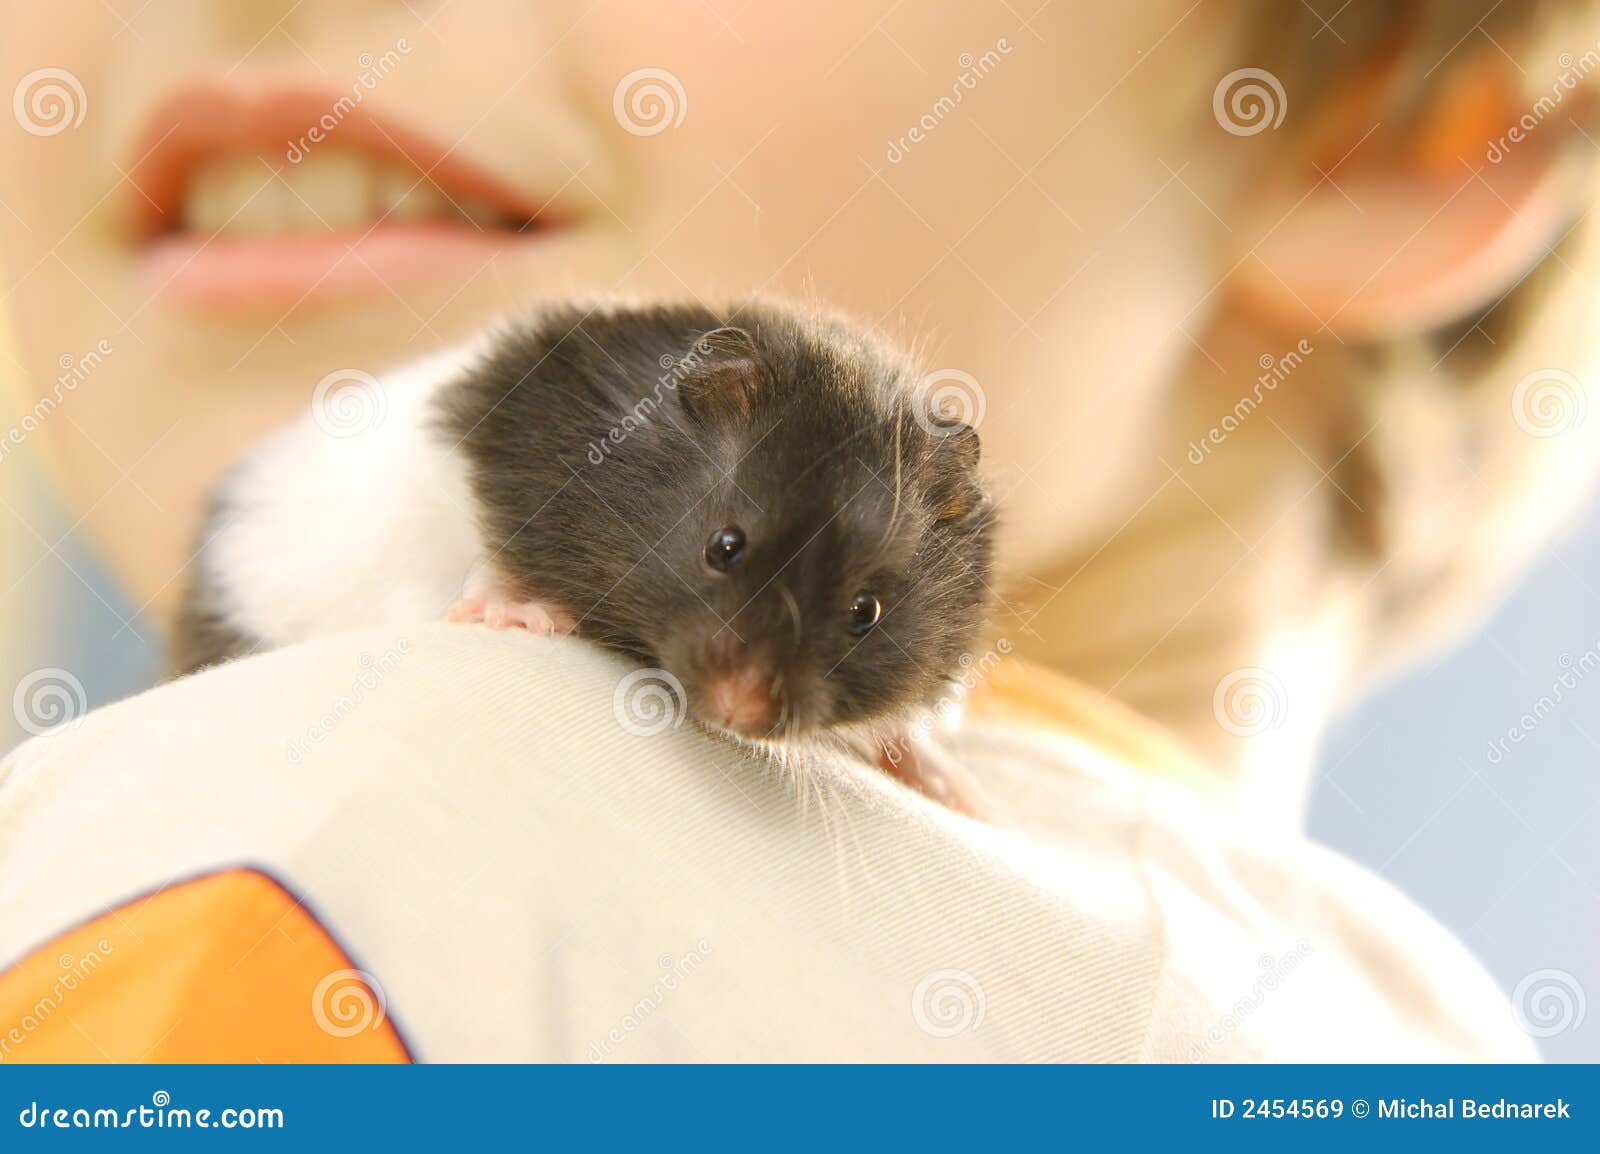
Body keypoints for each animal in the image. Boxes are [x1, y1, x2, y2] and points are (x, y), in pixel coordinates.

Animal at [175, 301, 997, 813]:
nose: (740, 709)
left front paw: (964, 794)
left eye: (866, 612)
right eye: (723, 546)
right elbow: (480, 546)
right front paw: (520, 615)